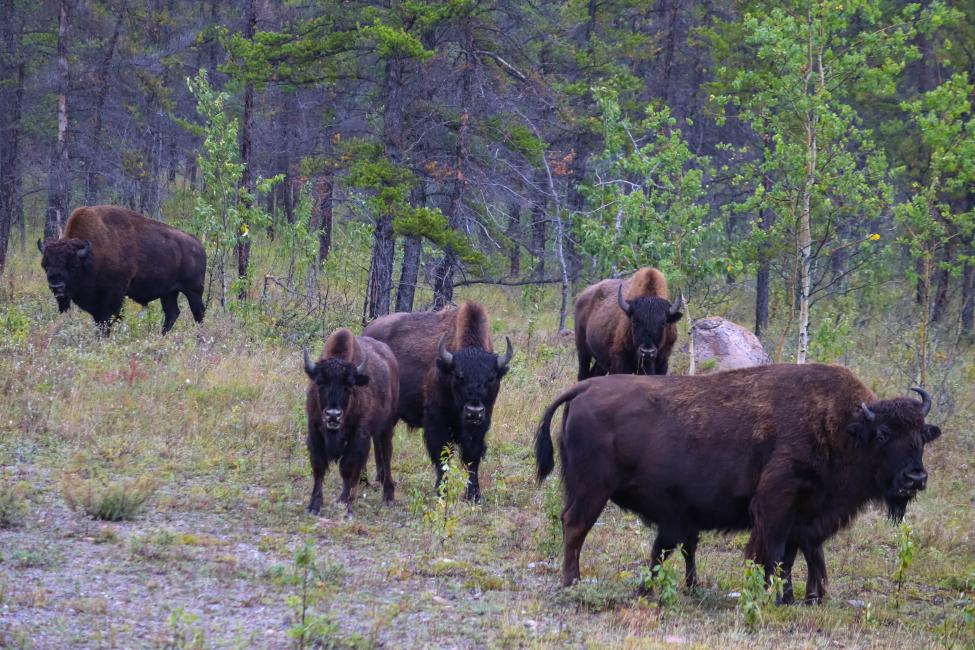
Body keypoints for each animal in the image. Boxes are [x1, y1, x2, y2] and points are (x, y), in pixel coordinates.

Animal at [38, 205, 206, 335]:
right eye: (45, 266)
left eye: (73, 266)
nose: (56, 287)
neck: (91, 255)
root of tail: (198, 245)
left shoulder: (113, 295)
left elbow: (108, 319)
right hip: (168, 292)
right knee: (172, 313)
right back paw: (162, 335)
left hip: (193, 291)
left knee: (199, 313)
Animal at [304, 328, 400, 515]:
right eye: (320, 383)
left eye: (349, 386)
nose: (333, 415)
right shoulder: (314, 429)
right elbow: (319, 466)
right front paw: (314, 506)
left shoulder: (358, 433)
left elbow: (347, 467)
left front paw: (344, 503)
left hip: (386, 428)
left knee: (386, 456)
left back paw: (388, 497)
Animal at [363, 301, 514, 501]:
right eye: (459, 376)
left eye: (491, 378)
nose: (473, 411)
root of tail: (367, 331)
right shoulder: (437, 421)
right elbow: (442, 456)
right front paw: (441, 492)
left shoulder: (481, 423)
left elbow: (472, 457)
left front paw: (473, 495)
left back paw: (379, 479)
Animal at [535, 364, 942, 603]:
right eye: (884, 434)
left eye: (921, 436)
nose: (915, 477)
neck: (841, 427)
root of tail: (585, 389)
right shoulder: (777, 504)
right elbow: (774, 552)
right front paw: (772, 594)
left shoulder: (805, 516)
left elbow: (797, 555)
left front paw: (793, 595)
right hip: (592, 490)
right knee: (575, 525)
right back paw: (571, 581)